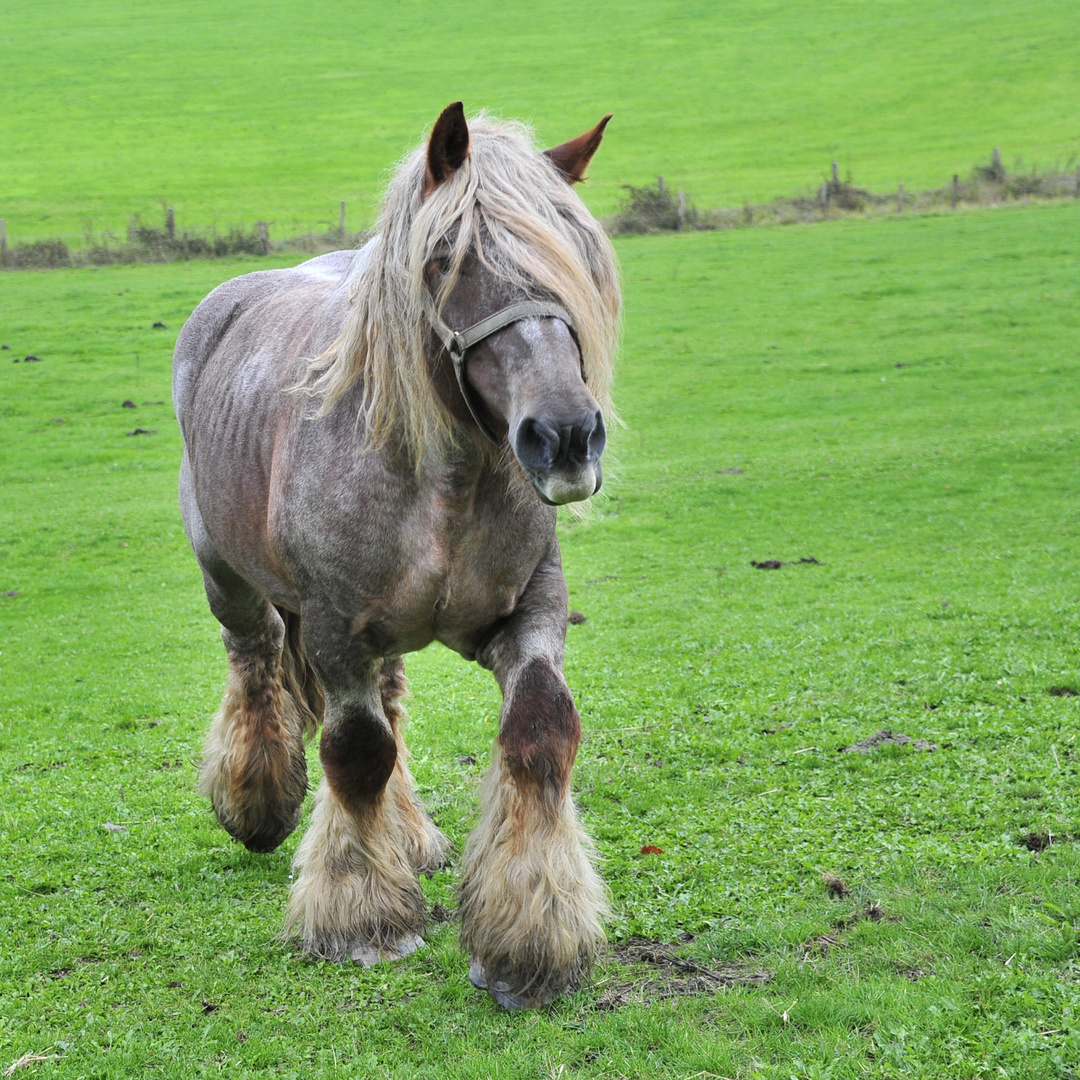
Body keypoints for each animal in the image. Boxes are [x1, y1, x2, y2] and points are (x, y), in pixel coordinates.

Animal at [172, 105, 622, 1006]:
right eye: (446, 258)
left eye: (571, 249)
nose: (563, 436)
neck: (445, 484)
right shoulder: (335, 629)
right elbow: (356, 753)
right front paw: (362, 916)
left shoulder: (529, 613)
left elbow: (540, 729)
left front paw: (529, 938)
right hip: (229, 580)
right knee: (255, 661)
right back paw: (258, 800)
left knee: (390, 700)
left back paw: (408, 836)